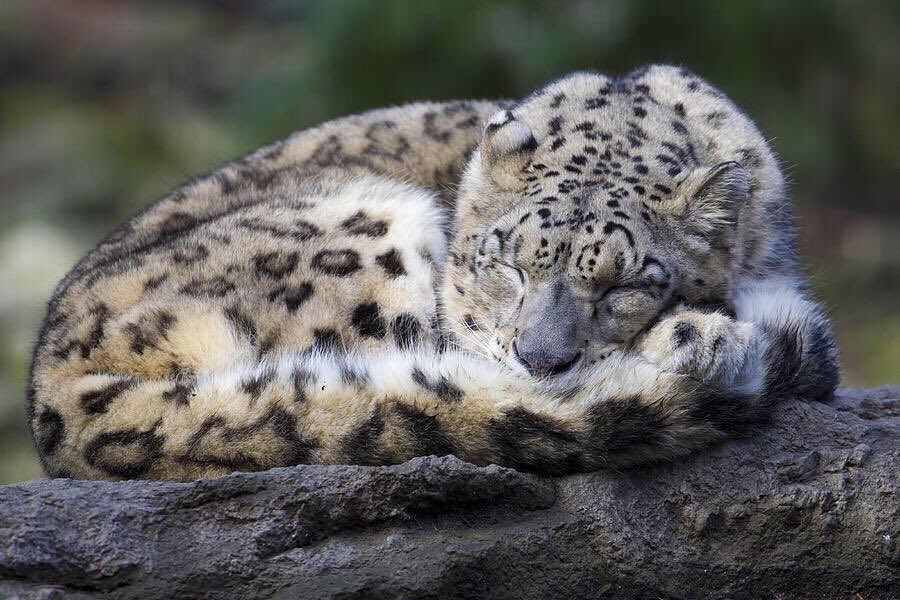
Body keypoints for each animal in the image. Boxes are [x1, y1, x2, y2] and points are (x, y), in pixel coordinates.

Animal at [27, 65, 838, 481]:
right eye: (507, 263)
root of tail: (49, 391)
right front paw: (704, 338)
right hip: (371, 225)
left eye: (624, 285)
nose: (541, 358)